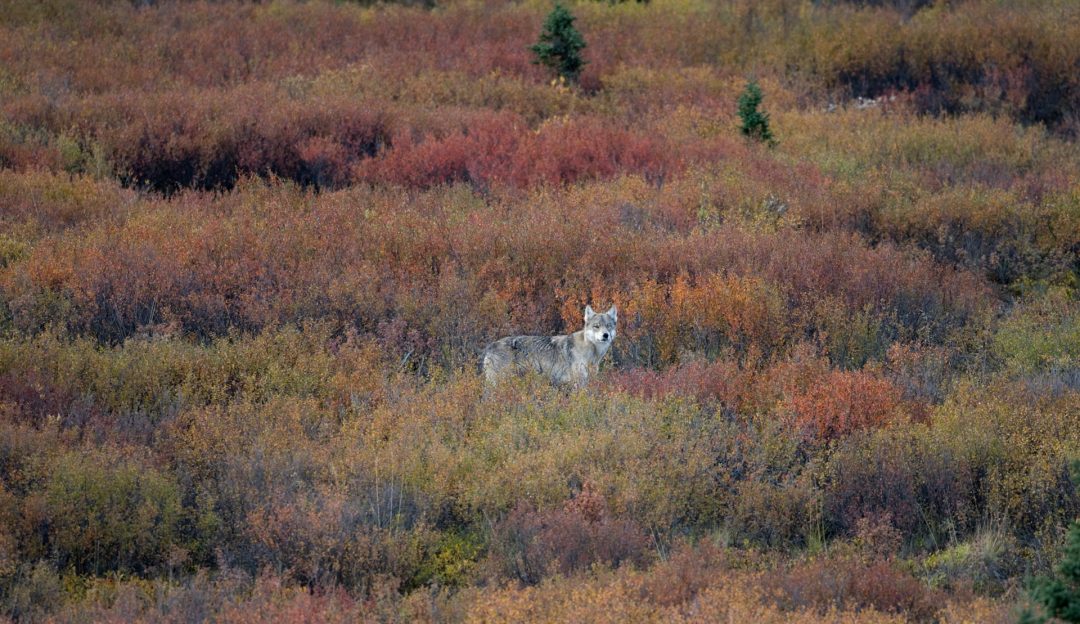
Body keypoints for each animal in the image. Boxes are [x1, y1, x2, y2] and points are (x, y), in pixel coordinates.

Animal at [482, 305, 617, 388]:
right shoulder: (578, 383)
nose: (605, 335)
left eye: (609, 326)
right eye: (596, 326)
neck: (592, 353)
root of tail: (490, 347)